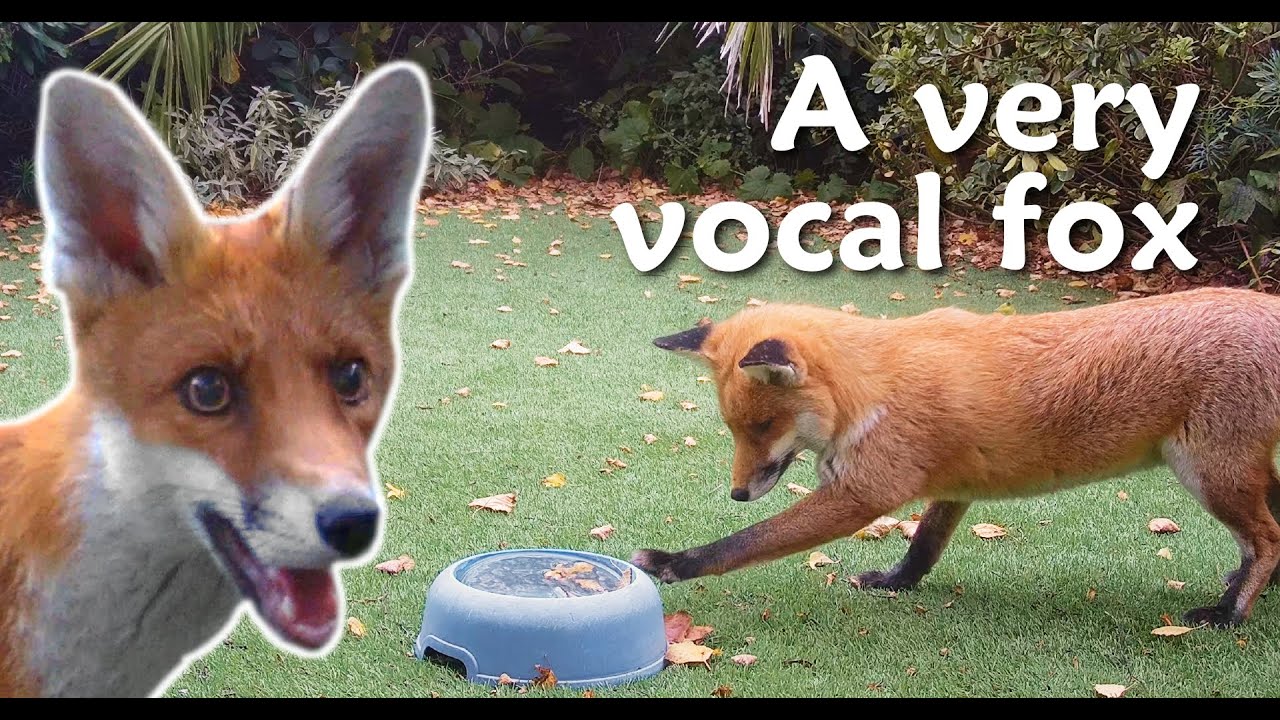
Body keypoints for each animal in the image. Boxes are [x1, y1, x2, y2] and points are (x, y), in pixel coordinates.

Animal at [632, 289, 1280, 628]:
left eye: (763, 427)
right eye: (732, 429)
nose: (738, 493)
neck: (869, 386)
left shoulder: (861, 494)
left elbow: (742, 544)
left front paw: (673, 563)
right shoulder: (957, 483)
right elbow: (922, 548)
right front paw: (896, 584)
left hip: (1209, 474)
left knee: (1267, 539)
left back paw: (1231, 613)